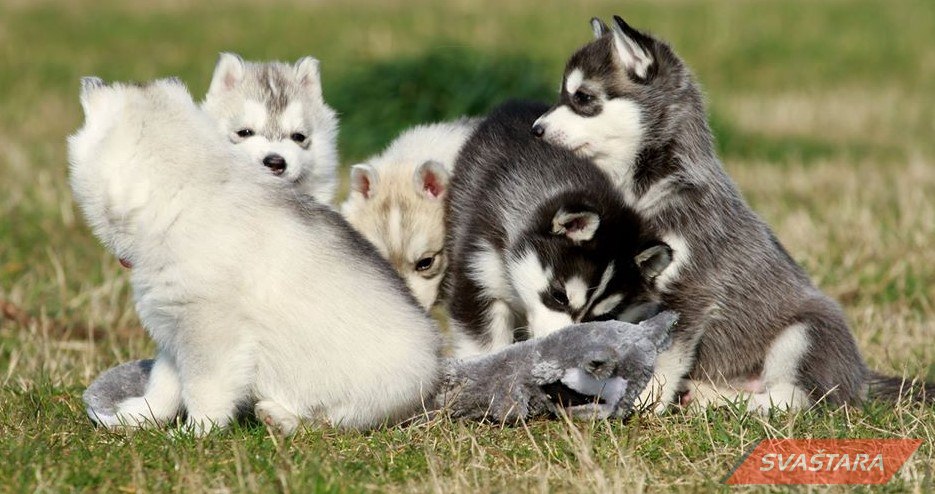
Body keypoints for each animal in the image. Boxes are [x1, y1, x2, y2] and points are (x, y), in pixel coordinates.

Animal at [69, 77, 442, 436]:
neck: (179, 196)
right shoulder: (173, 330)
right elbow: (164, 385)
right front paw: (136, 416)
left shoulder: (209, 332)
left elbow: (202, 390)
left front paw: (194, 433)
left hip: (368, 397)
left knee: (327, 421)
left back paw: (281, 418)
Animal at [532, 15, 932, 412]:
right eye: (562, 95)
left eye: (583, 98)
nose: (536, 129)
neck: (648, 187)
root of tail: (861, 378)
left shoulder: (690, 291)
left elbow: (666, 358)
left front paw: (643, 404)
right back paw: (702, 396)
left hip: (806, 333)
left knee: (794, 398)